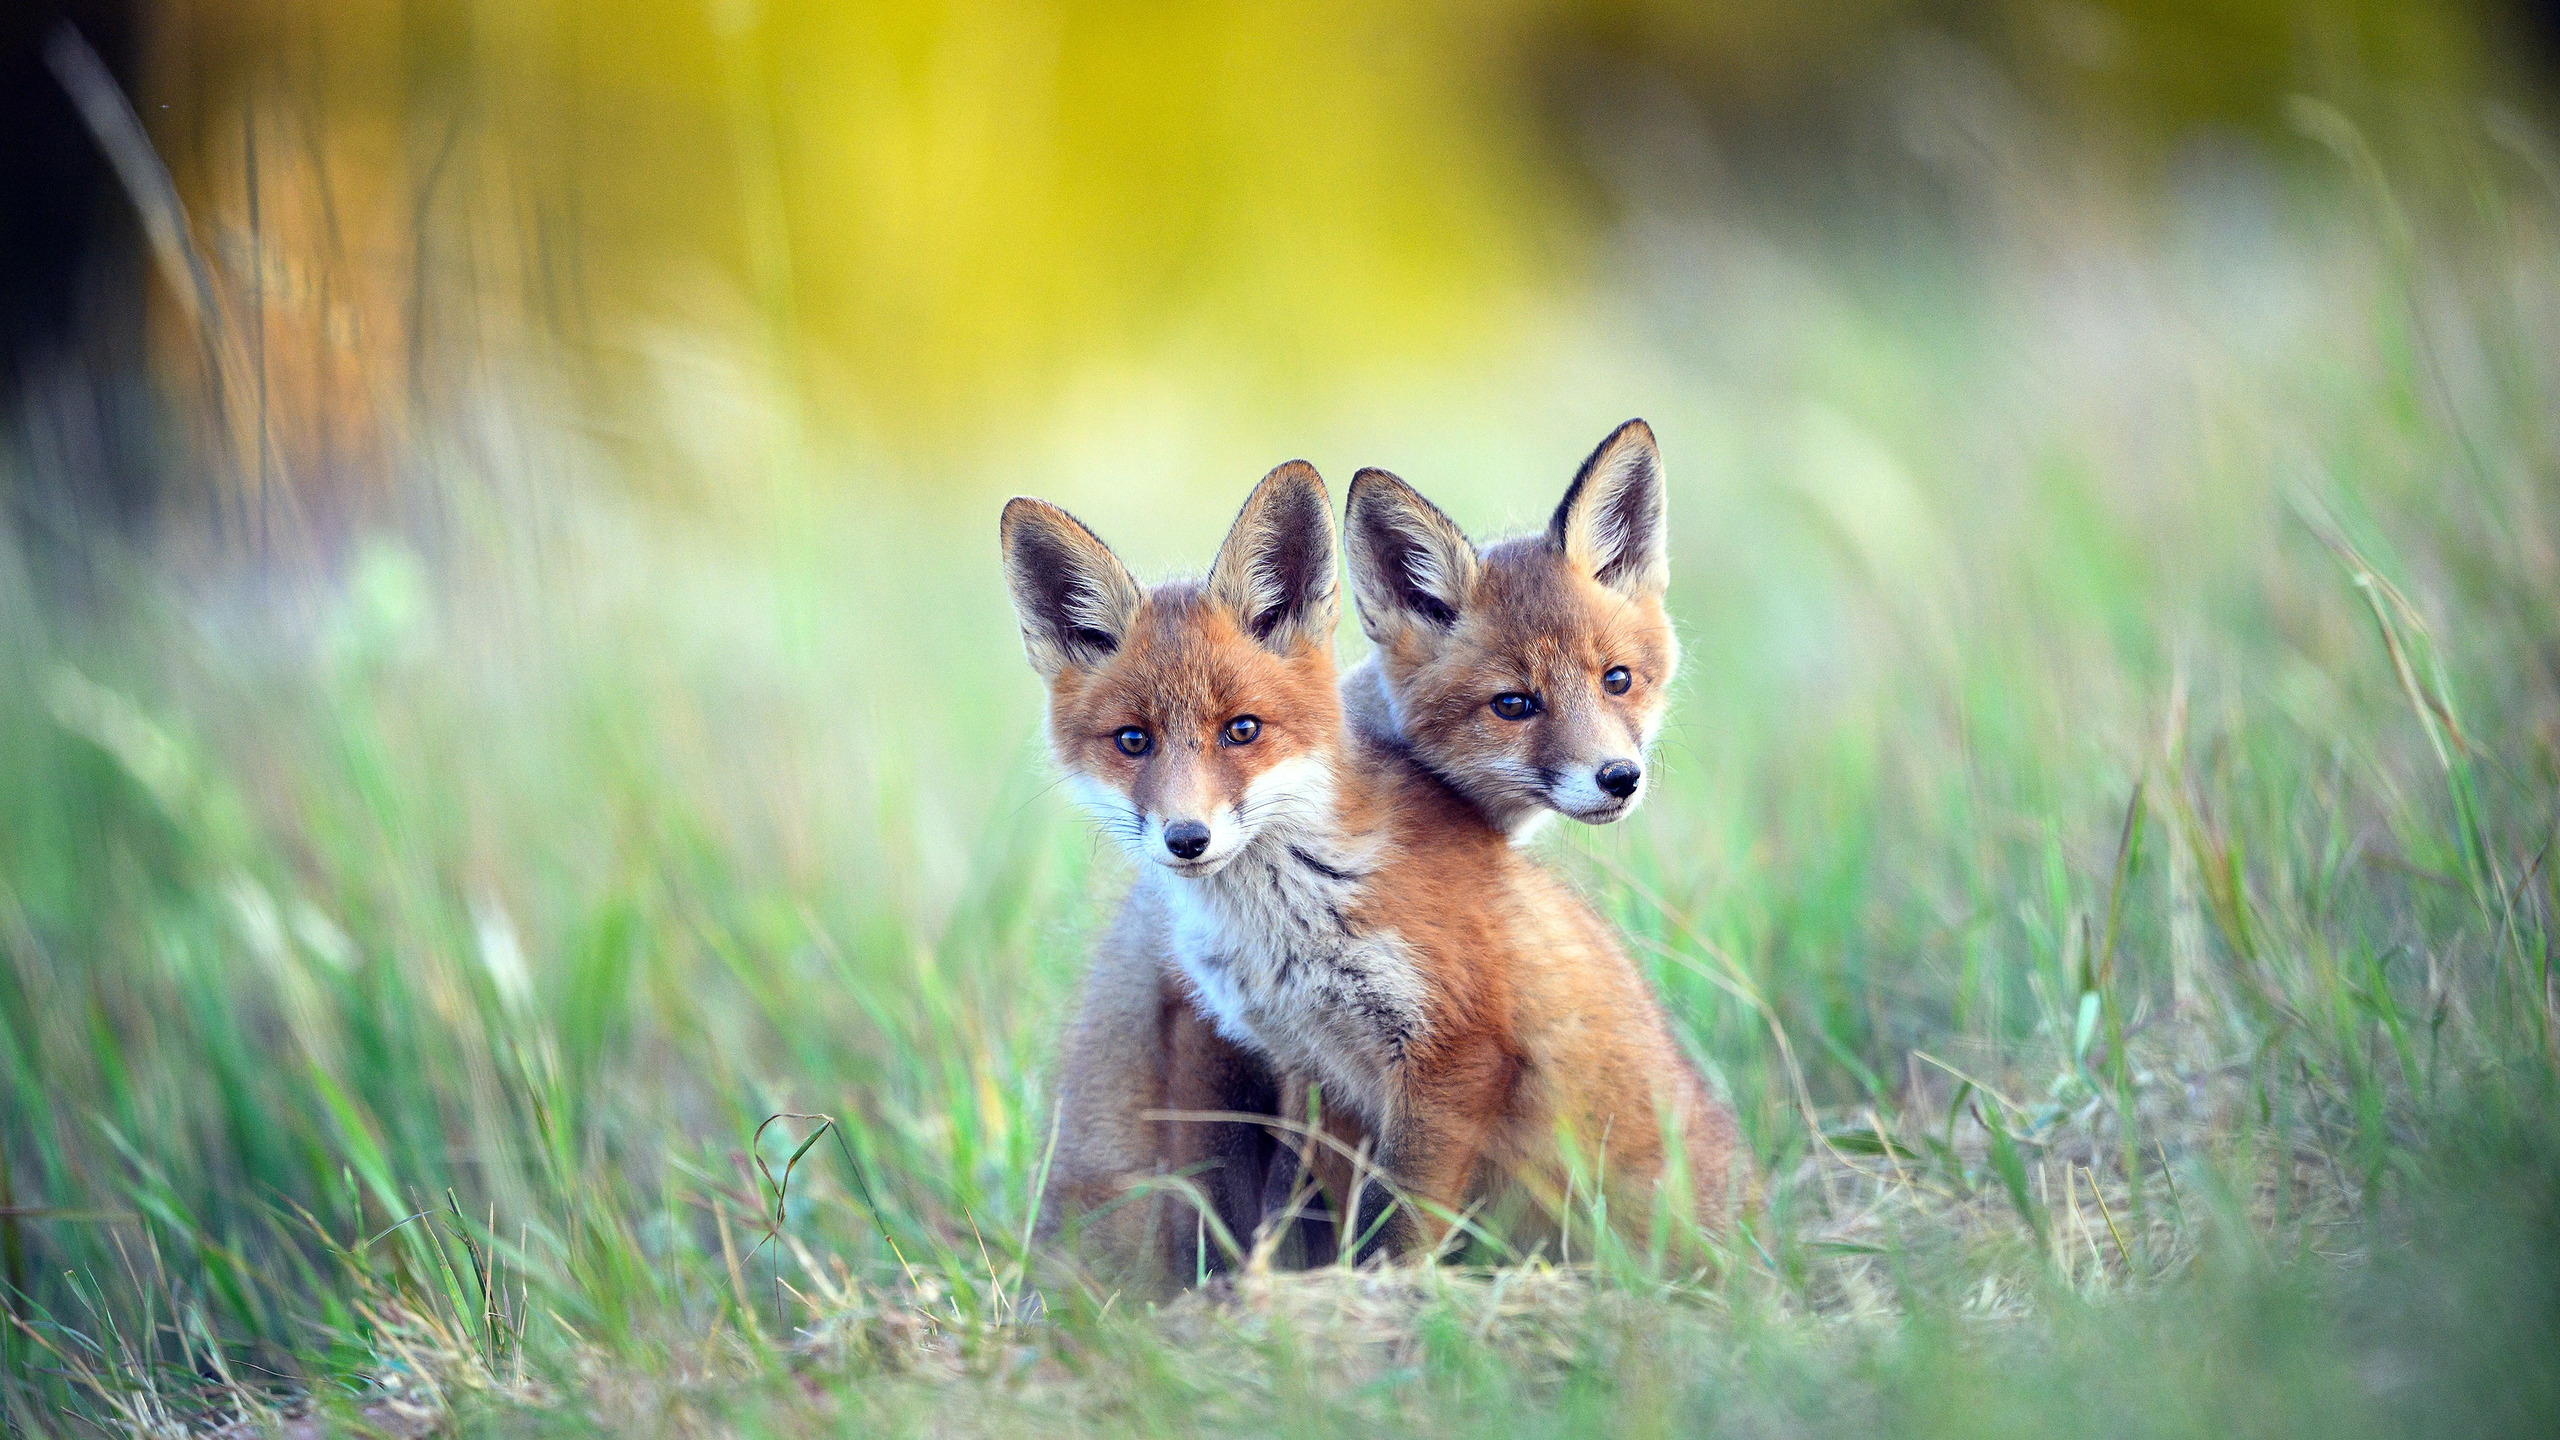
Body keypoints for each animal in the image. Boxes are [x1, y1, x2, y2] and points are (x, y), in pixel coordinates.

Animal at [1005, 432, 1743, 1284]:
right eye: (1133, 741)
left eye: (1617, 680)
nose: (1187, 838)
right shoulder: (1266, 1049)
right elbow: (1297, 1213)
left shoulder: (1442, 1052)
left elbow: (1390, 1224)